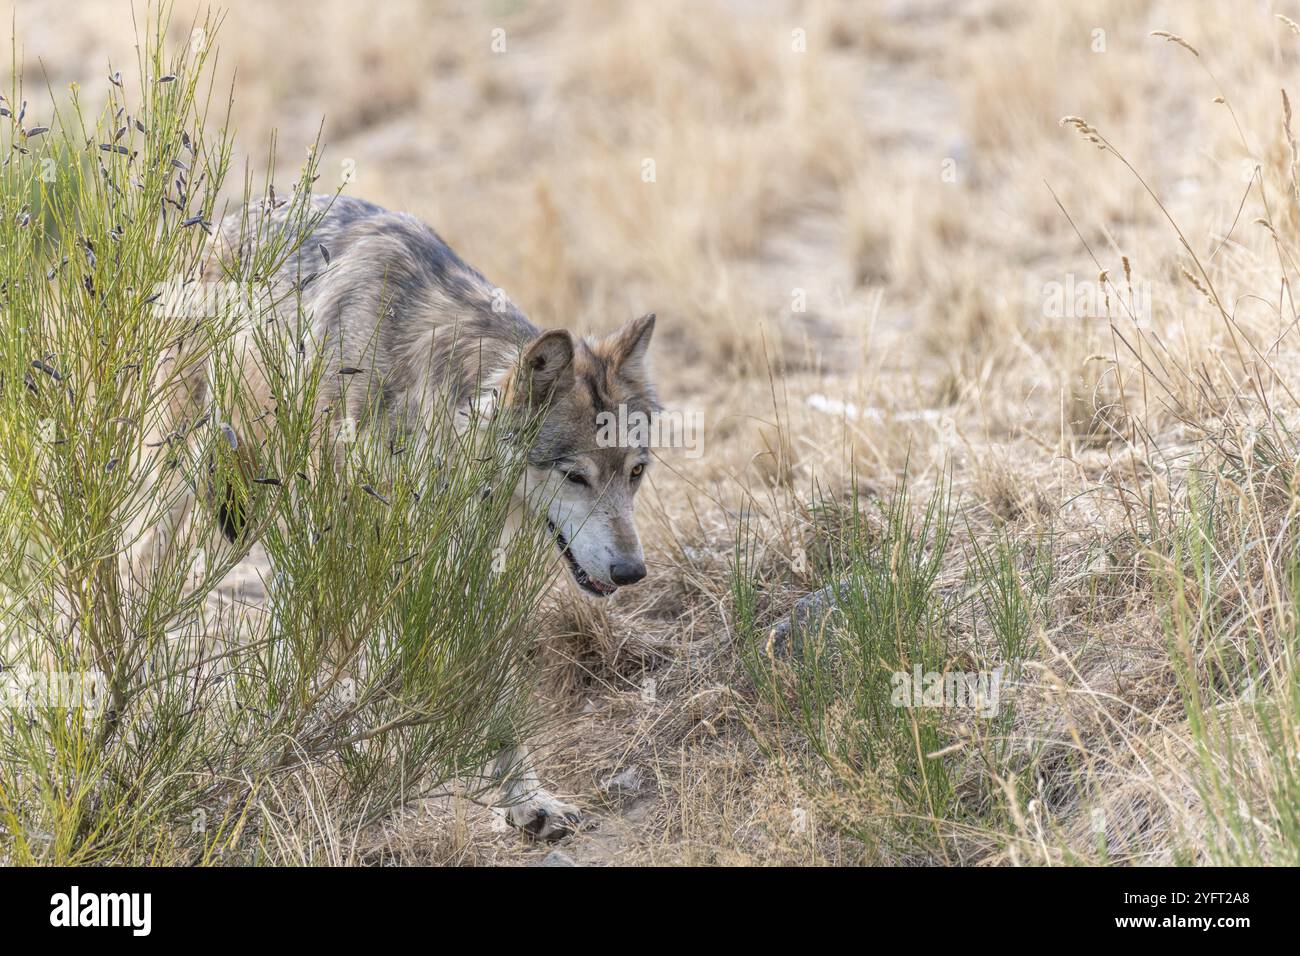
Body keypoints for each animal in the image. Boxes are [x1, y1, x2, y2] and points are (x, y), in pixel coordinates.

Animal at [135, 194, 659, 839]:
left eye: (635, 473)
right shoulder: (338, 536)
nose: (632, 572)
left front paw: (526, 799)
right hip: (188, 479)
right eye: (575, 476)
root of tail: (226, 219)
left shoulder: (470, 561)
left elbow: (491, 686)